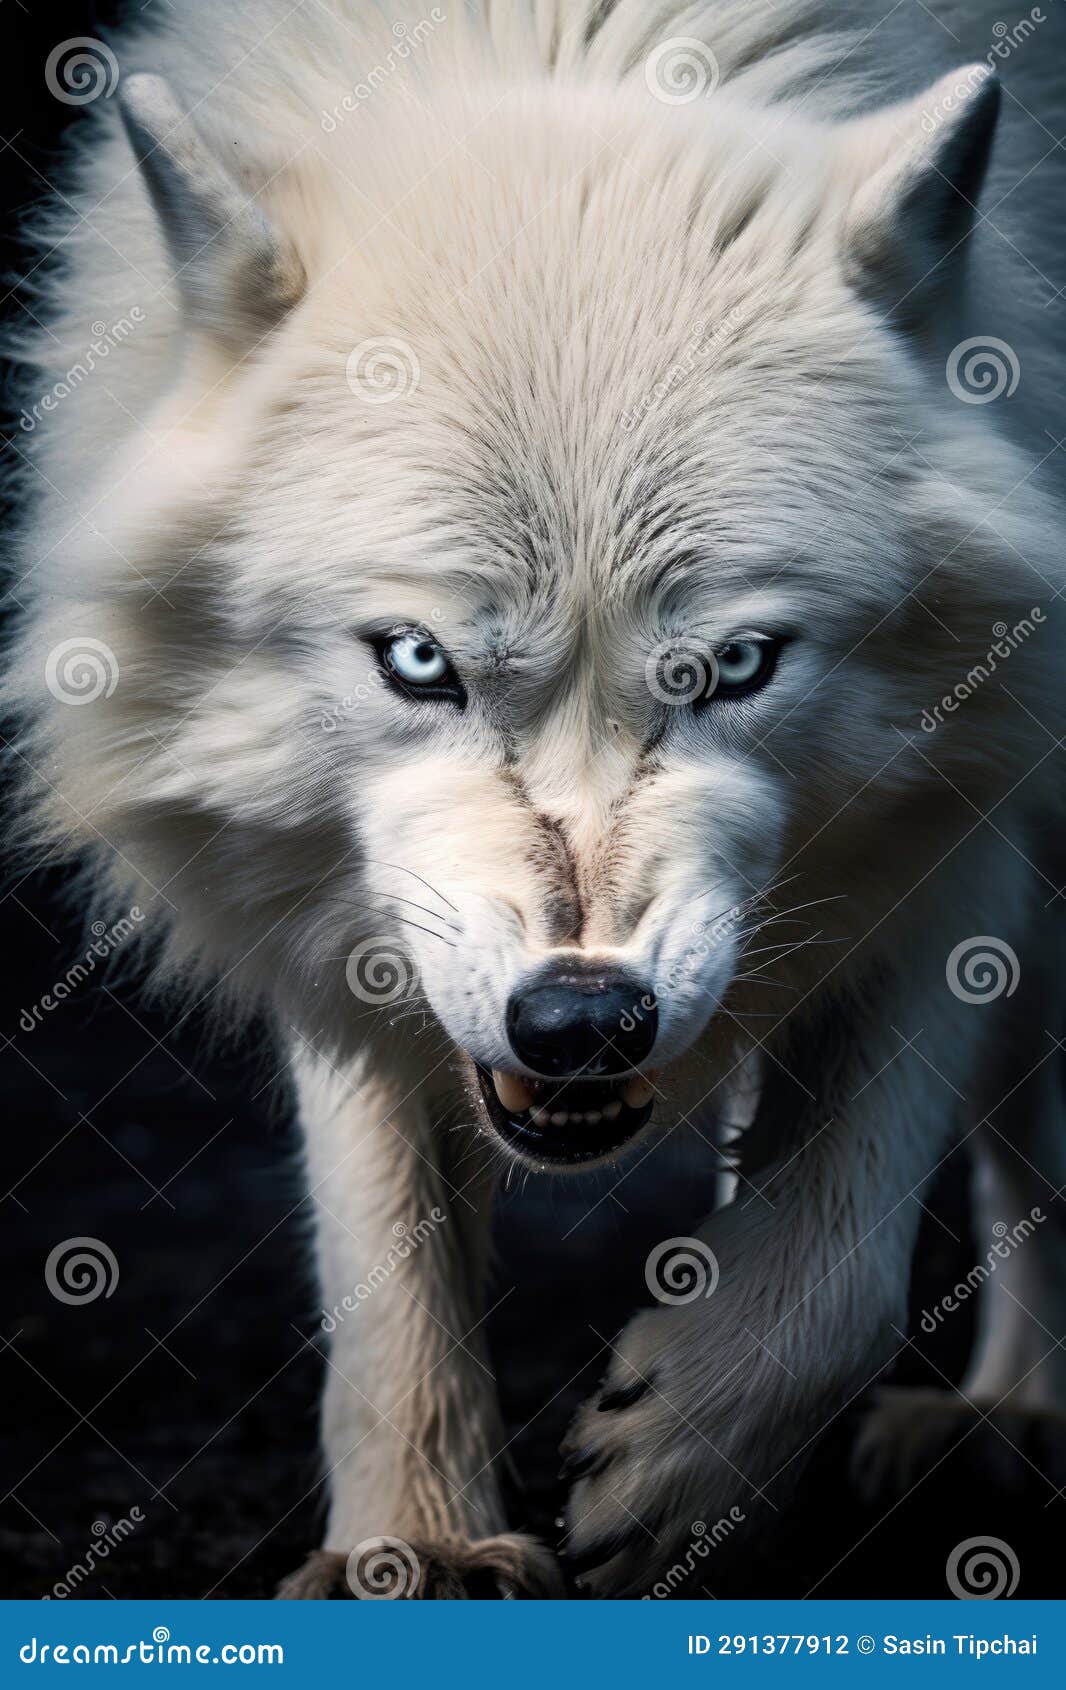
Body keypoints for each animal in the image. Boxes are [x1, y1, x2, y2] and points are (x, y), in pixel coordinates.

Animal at [4, 0, 1065, 1598]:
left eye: (735, 664)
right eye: (418, 660)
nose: (580, 1020)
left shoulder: (969, 796)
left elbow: (843, 1261)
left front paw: (683, 1456)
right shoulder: (343, 908)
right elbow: (384, 1242)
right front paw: (416, 1543)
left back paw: (1011, 1407)